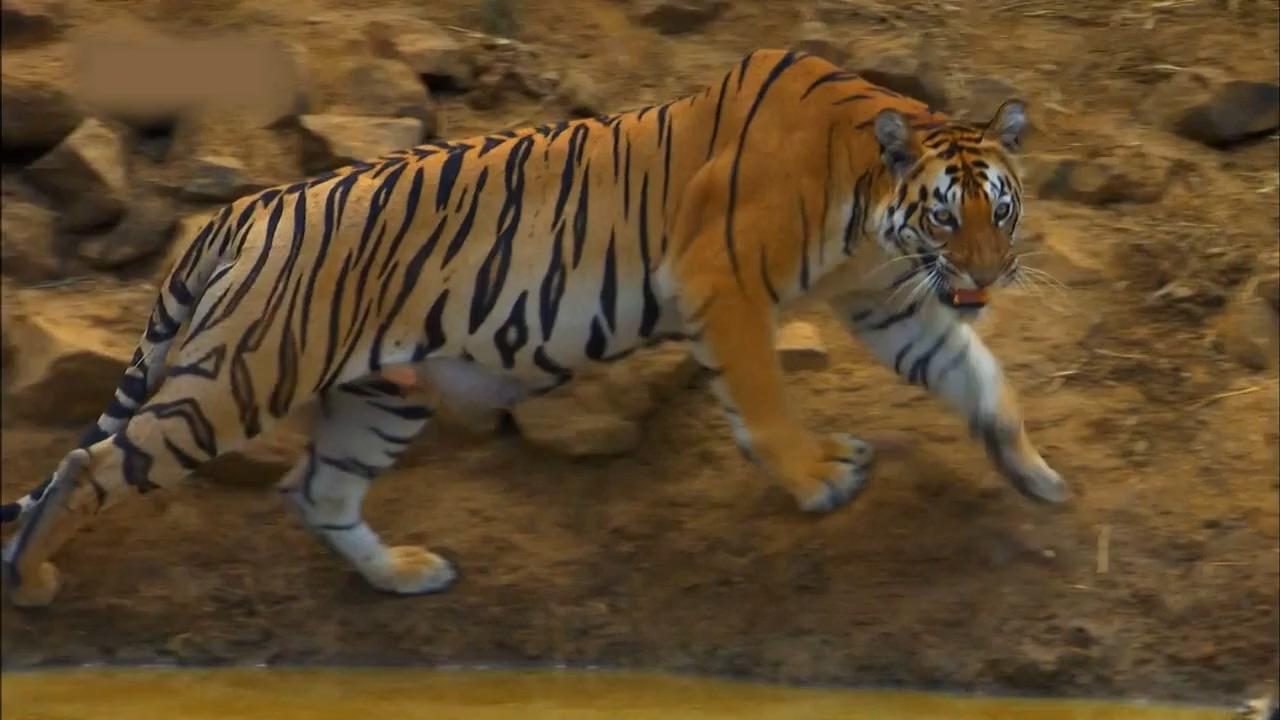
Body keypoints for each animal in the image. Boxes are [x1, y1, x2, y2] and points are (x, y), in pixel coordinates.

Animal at [0, 48, 1069, 608]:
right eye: (946, 216)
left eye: (1000, 209)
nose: (986, 276)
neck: (869, 204)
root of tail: (247, 207)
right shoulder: (722, 284)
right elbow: (765, 403)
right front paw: (817, 481)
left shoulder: (892, 303)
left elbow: (980, 377)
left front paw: (1035, 475)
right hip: (240, 379)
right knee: (89, 465)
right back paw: (33, 579)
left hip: (379, 396)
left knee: (320, 493)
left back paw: (404, 574)